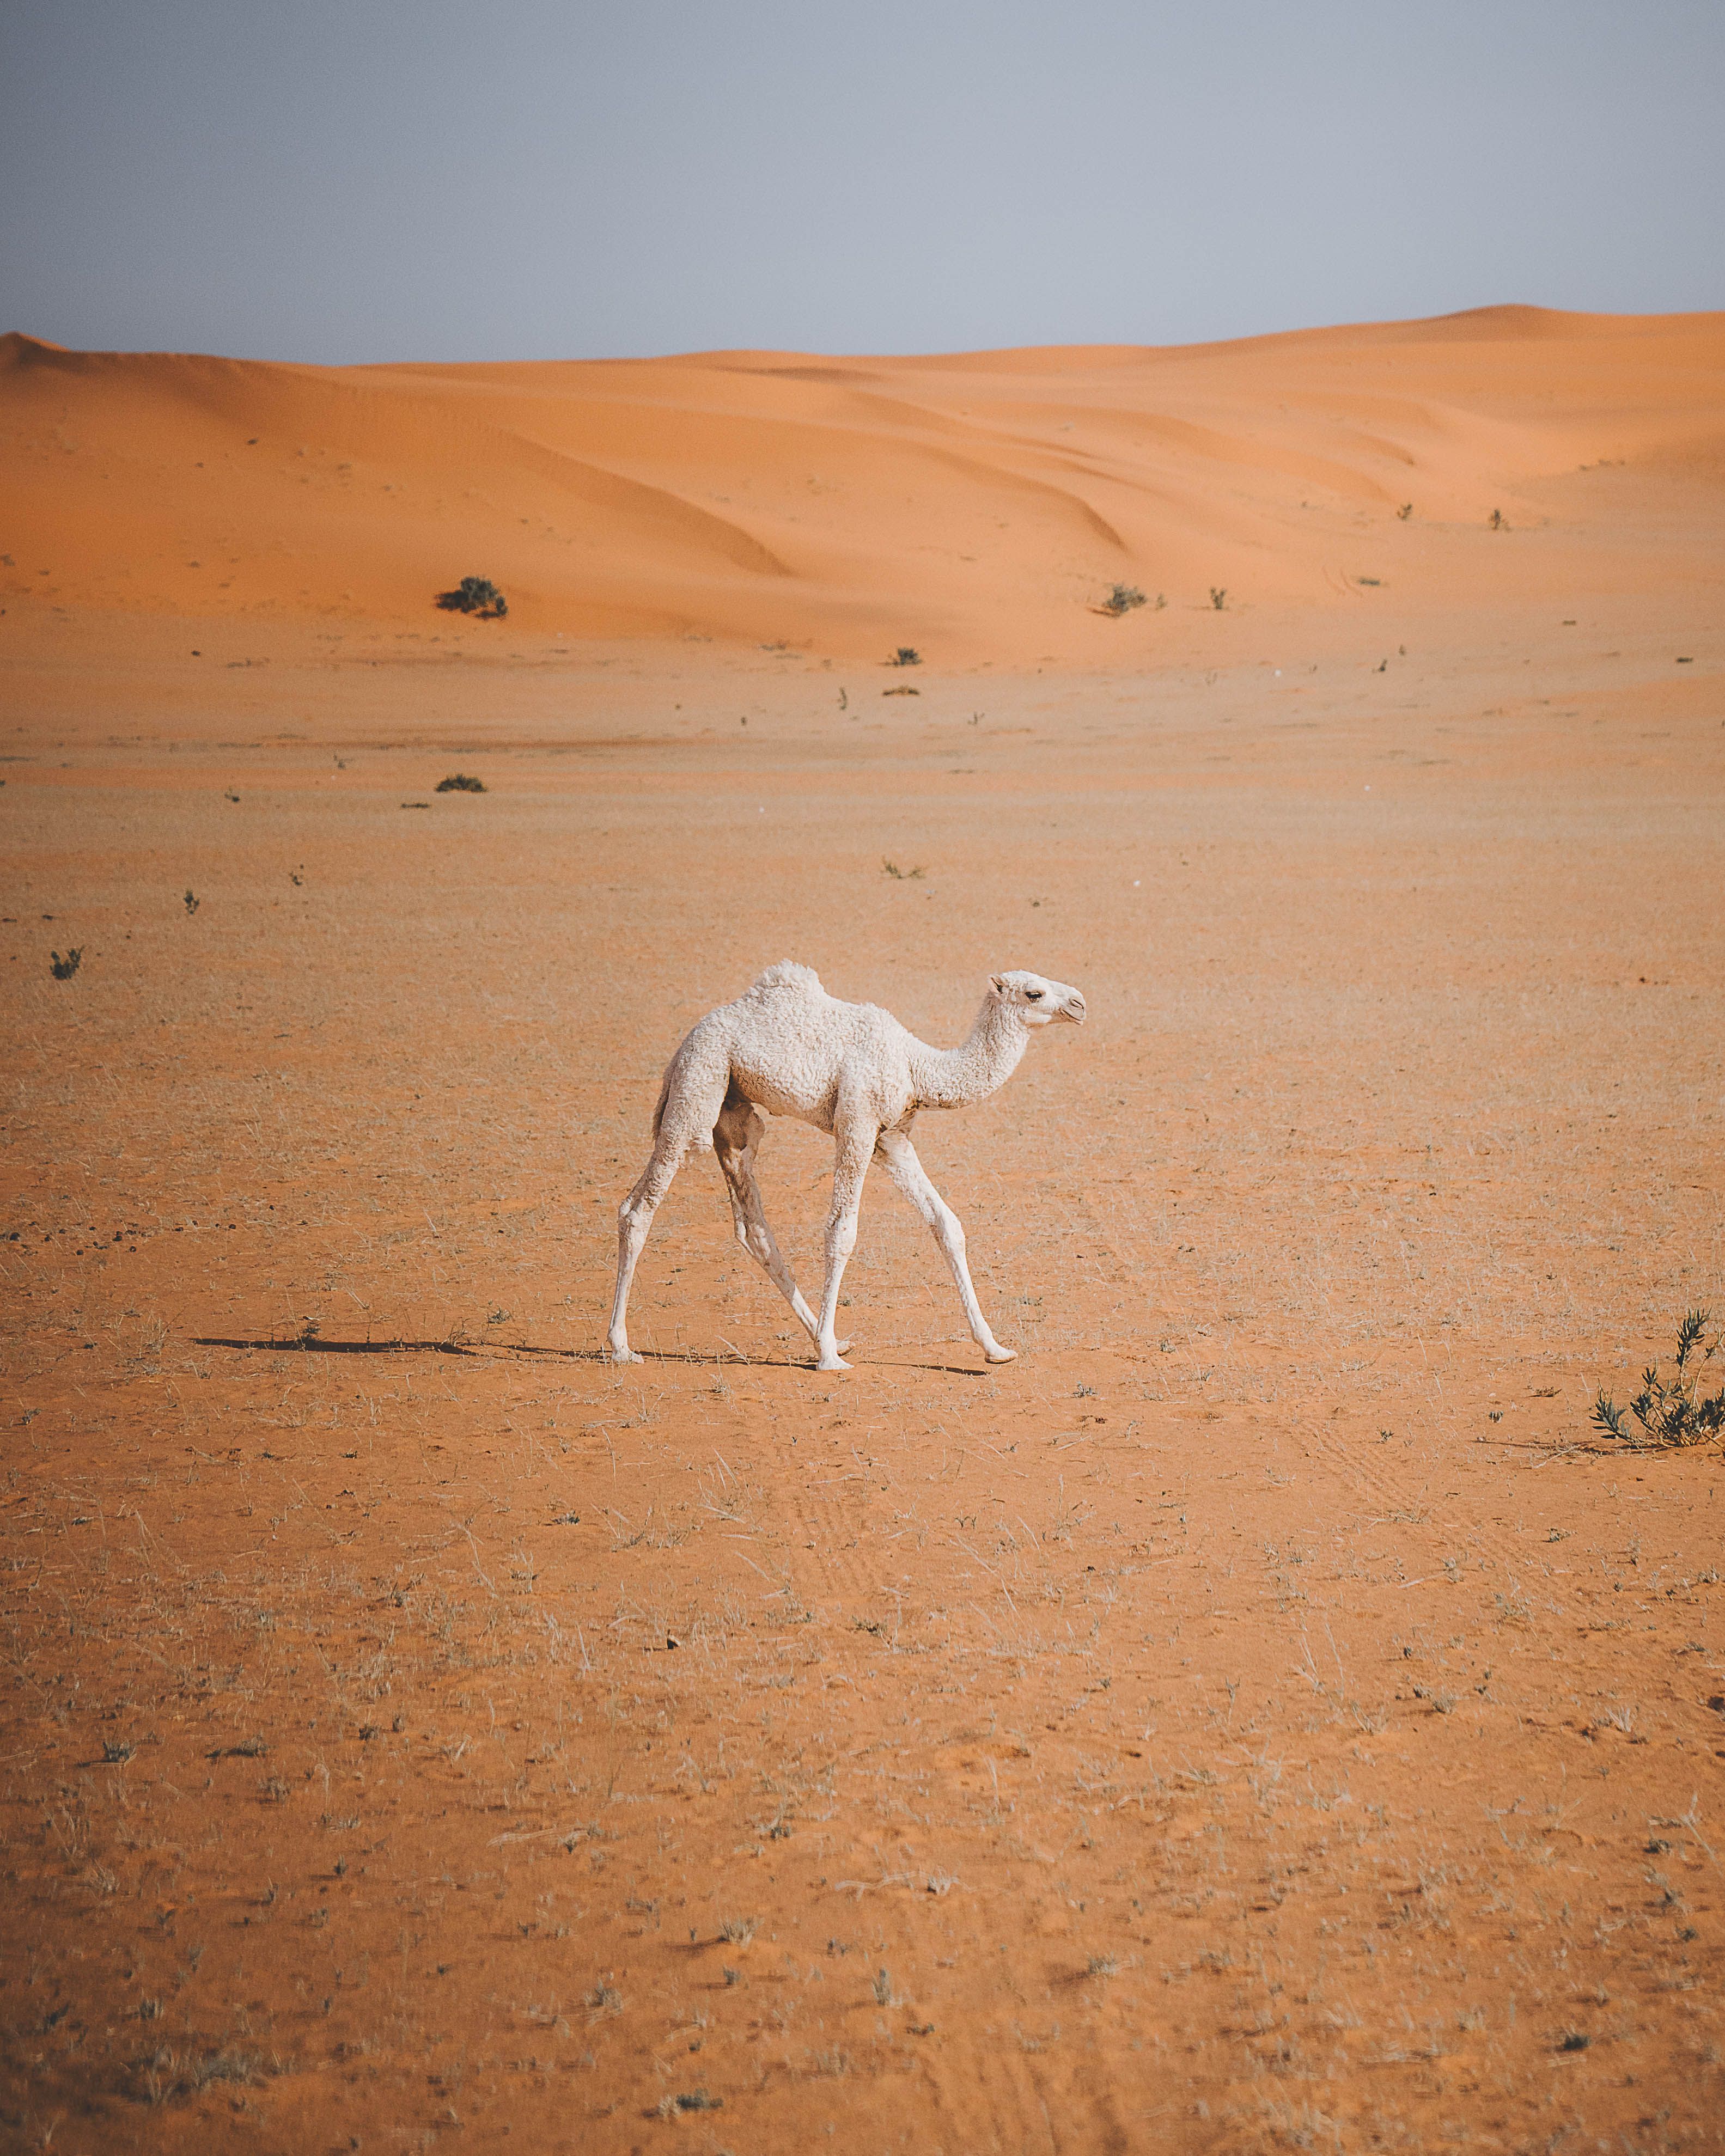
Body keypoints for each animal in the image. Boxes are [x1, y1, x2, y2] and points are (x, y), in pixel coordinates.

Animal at [605, 963, 1087, 1372]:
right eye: (1034, 992)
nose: (1079, 1003)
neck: (917, 1065)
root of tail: (682, 1045)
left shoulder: (891, 1138)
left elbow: (945, 1224)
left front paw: (995, 1348)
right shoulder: (856, 1123)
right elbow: (842, 1232)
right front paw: (827, 1359)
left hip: (734, 1114)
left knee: (752, 1229)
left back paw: (828, 1336)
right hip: (697, 1089)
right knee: (638, 1207)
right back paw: (622, 1347)